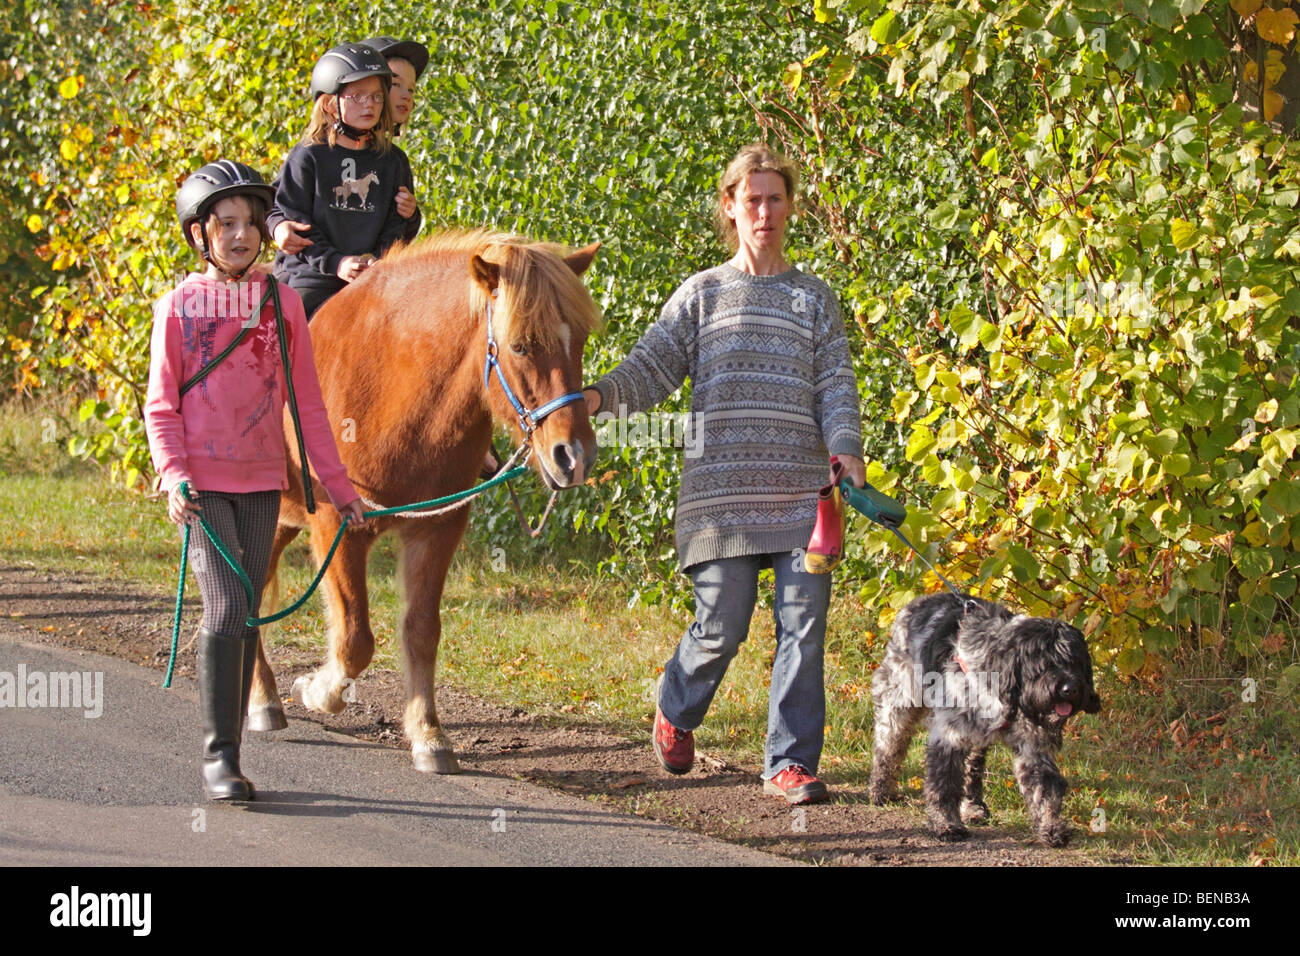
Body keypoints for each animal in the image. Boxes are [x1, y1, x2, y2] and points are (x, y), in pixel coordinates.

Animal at [245, 230, 601, 773]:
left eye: (578, 340)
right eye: (520, 345)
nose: (573, 456)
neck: (391, 385)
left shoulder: (437, 528)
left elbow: (421, 630)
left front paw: (428, 734)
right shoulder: (337, 528)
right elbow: (355, 639)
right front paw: (316, 690)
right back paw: (263, 698)